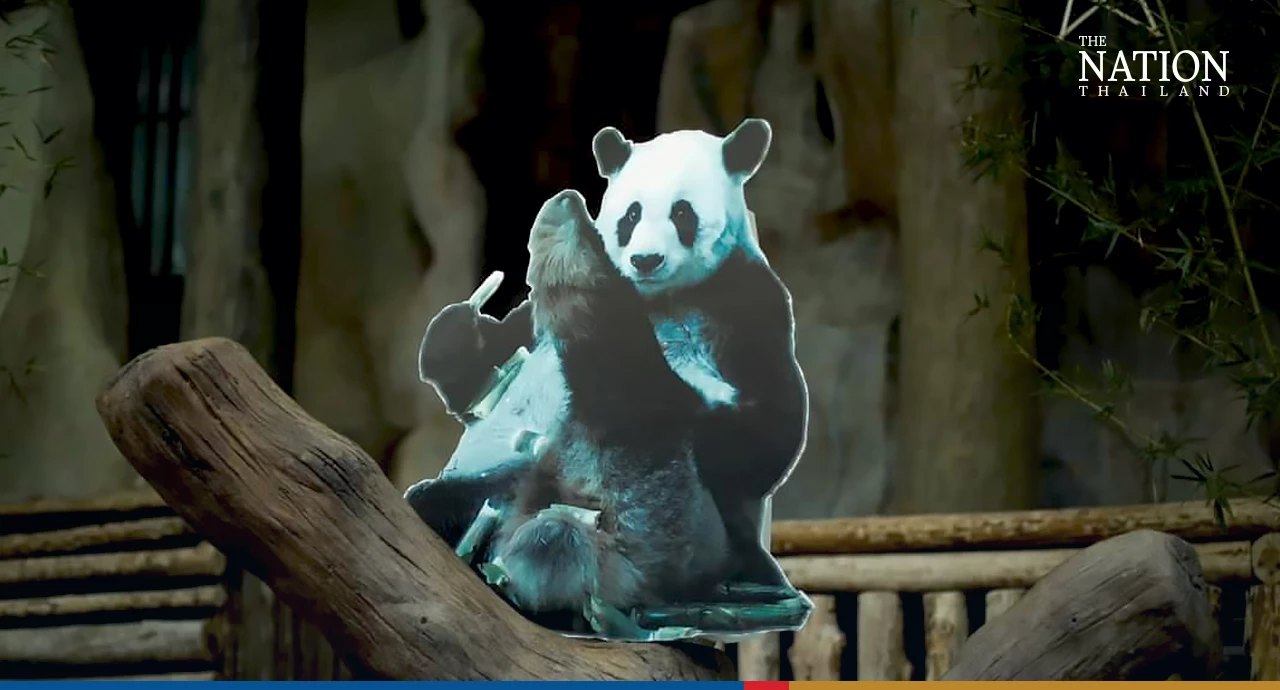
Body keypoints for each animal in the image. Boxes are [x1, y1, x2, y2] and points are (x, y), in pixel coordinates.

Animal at [408, 118, 809, 633]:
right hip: (504, 486)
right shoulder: (530, 329)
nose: (645, 261)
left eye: (682, 213)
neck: (657, 295)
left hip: (677, 533)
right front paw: (458, 332)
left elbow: (768, 439)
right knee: (453, 499)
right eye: (631, 215)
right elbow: (480, 376)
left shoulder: (751, 302)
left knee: (570, 531)